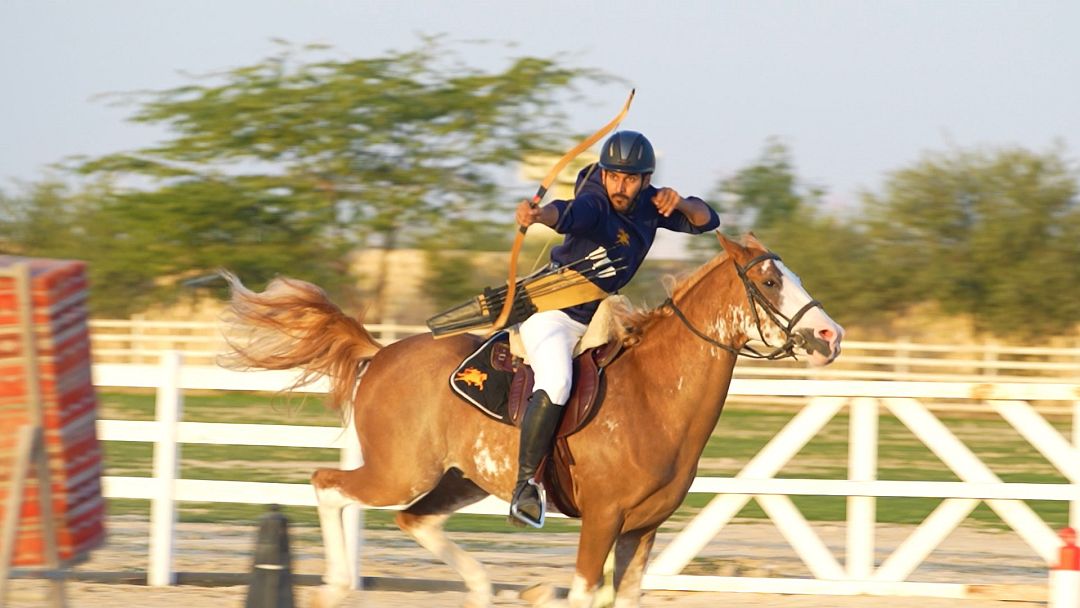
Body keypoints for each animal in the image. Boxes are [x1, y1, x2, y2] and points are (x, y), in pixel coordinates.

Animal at [219, 233, 843, 608]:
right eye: (769, 282)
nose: (830, 334)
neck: (655, 394)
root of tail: (380, 352)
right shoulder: (603, 522)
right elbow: (587, 594)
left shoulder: (641, 531)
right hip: (400, 472)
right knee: (328, 485)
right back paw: (337, 586)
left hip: (460, 480)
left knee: (413, 520)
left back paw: (481, 589)